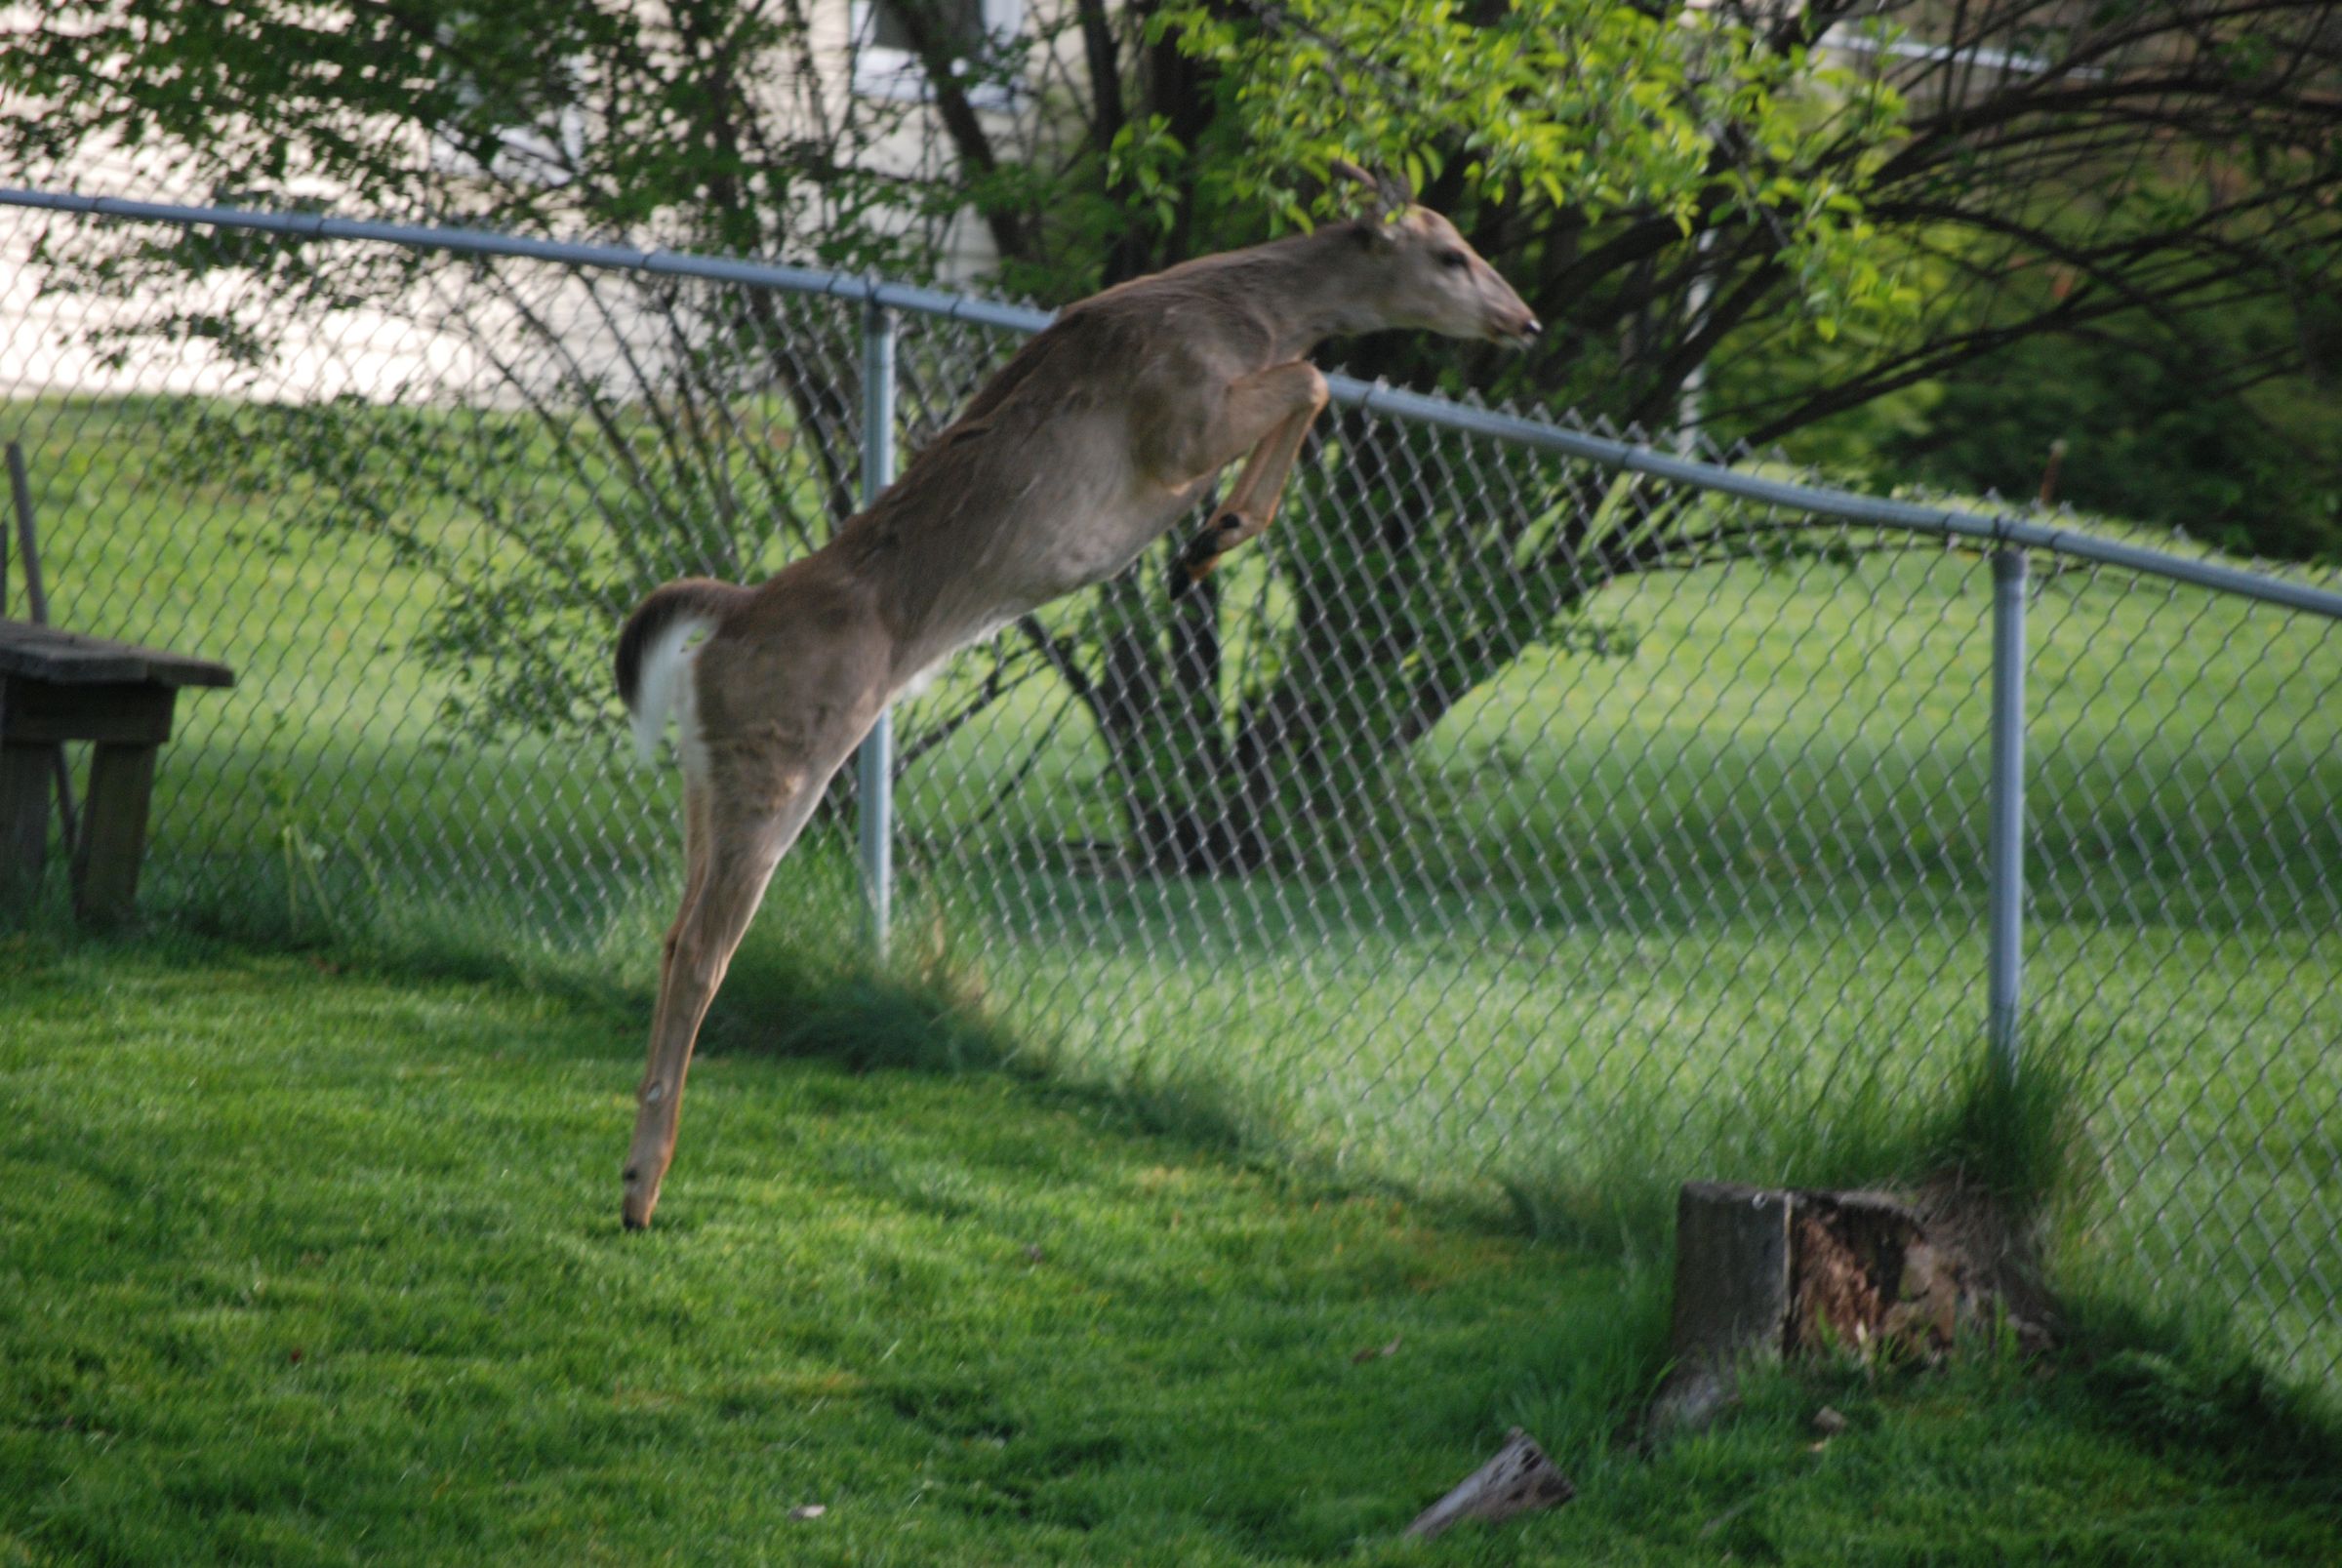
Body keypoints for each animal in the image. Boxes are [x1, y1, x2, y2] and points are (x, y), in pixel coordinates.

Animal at [613, 165, 1540, 1229]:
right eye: (1450, 254)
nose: (1526, 320)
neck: (1252, 314)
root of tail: (725, 621)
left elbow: (1319, 381)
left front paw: (1207, 543)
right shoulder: (1177, 418)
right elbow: (1315, 380)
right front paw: (1214, 536)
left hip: (705, 773)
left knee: (673, 925)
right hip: (785, 755)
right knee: (701, 947)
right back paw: (643, 1185)